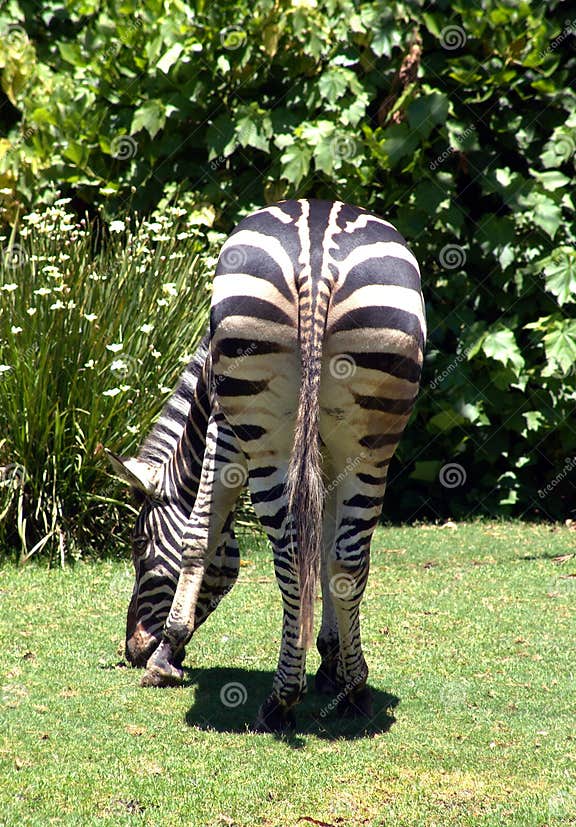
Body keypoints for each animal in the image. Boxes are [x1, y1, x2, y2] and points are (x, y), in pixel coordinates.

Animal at [109, 198, 425, 733]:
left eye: (137, 544)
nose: (131, 651)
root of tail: (318, 255)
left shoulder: (221, 428)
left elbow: (199, 535)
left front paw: (166, 654)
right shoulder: (327, 453)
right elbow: (326, 545)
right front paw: (332, 662)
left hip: (263, 432)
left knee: (290, 554)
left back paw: (280, 699)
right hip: (371, 436)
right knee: (346, 555)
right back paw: (356, 691)